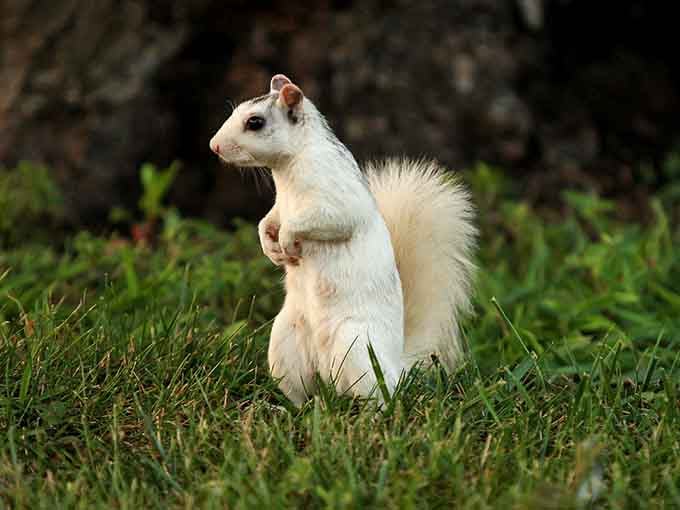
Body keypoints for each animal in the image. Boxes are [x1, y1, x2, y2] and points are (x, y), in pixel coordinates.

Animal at [210, 74, 477, 406]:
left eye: (255, 122)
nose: (214, 146)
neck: (288, 167)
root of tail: (397, 367)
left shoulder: (335, 195)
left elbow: (329, 218)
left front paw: (286, 240)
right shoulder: (280, 206)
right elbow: (268, 220)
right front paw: (270, 246)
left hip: (358, 348)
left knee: (378, 395)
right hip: (285, 345)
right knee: (302, 390)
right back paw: (294, 409)